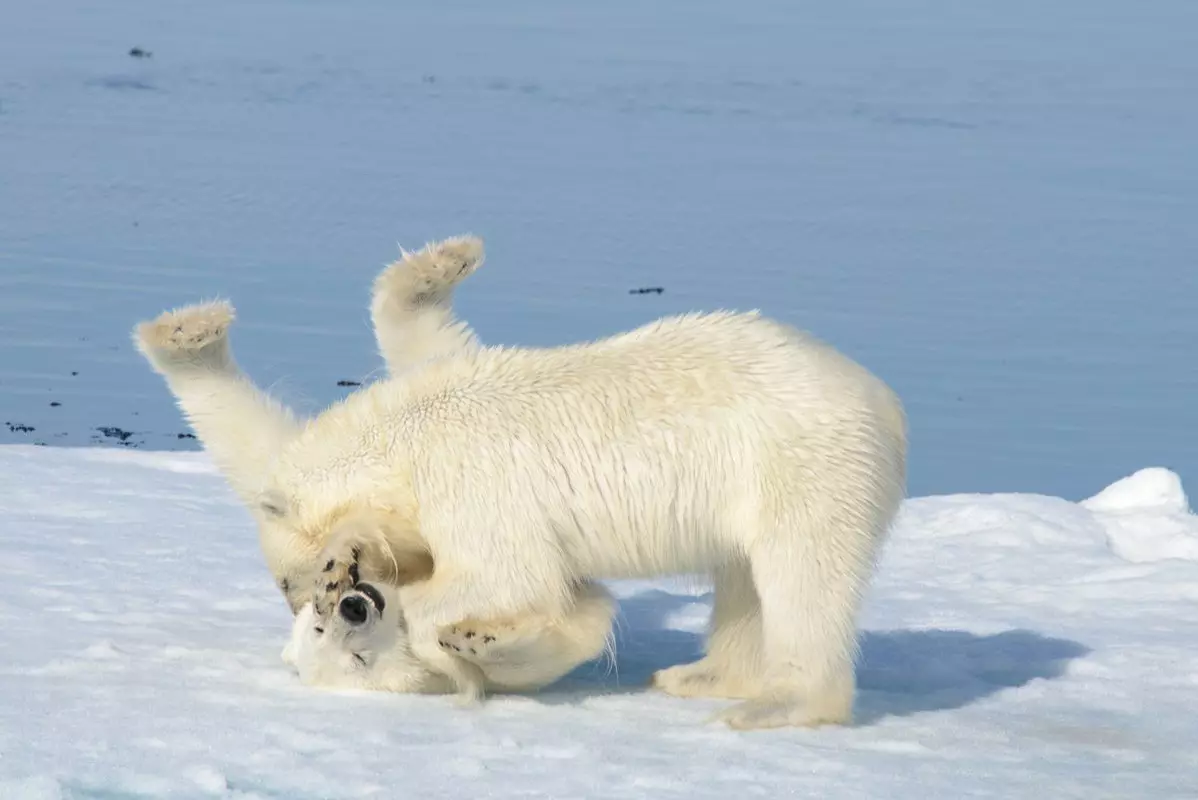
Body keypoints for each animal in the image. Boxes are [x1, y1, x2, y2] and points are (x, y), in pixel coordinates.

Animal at [135, 234, 900, 728]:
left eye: (301, 581)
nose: (334, 601)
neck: (403, 440)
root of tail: (885, 405)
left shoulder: (469, 476)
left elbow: (506, 571)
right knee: (745, 579)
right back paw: (703, 674)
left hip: (799, 466)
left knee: (801, 575)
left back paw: (775, 703)